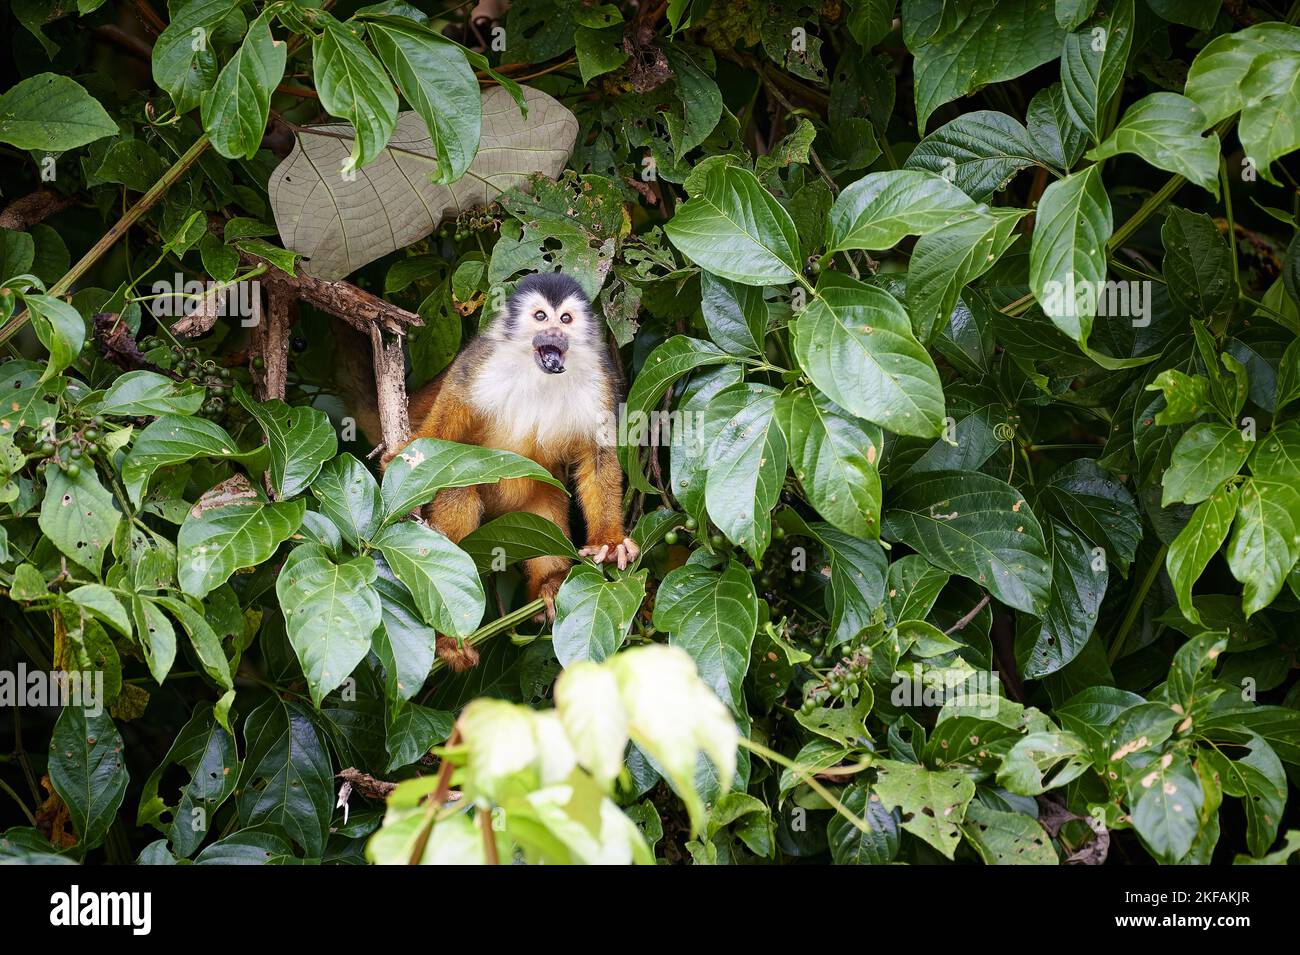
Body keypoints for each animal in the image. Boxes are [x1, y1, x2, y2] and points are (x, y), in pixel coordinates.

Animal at [342, 271, 638, 671]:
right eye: (541, 316)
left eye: (566, 319)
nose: (555, 334)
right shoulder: (481, 358)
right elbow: (456, 403)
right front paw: (409, 455)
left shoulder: (601, 378)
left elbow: (597, 456)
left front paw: (610, 542)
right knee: (456, 486)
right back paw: (449, 639)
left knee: (544, 507)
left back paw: (549, 585)